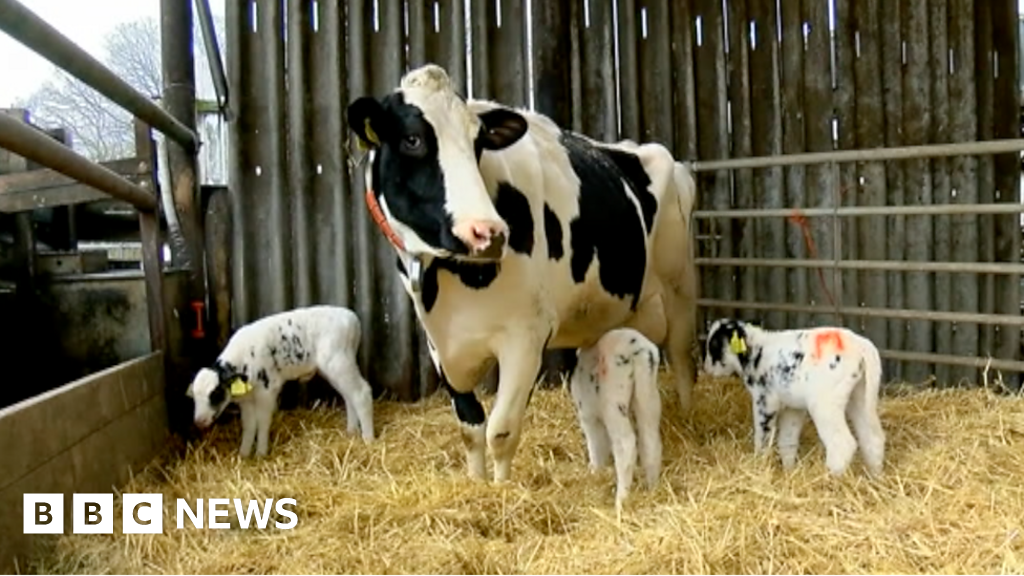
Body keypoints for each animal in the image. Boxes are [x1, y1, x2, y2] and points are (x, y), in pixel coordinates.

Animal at [346, 64, 699, 482]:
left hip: (680, 291)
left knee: (682, 360)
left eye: (478, 143)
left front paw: (501, 490)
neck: (446, 283)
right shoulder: (439, 344)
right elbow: (471, 428)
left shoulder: (526, 335)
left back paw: (689, 415)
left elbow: (501, 430)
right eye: (412, 139)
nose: (488, 232)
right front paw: (477, 483)